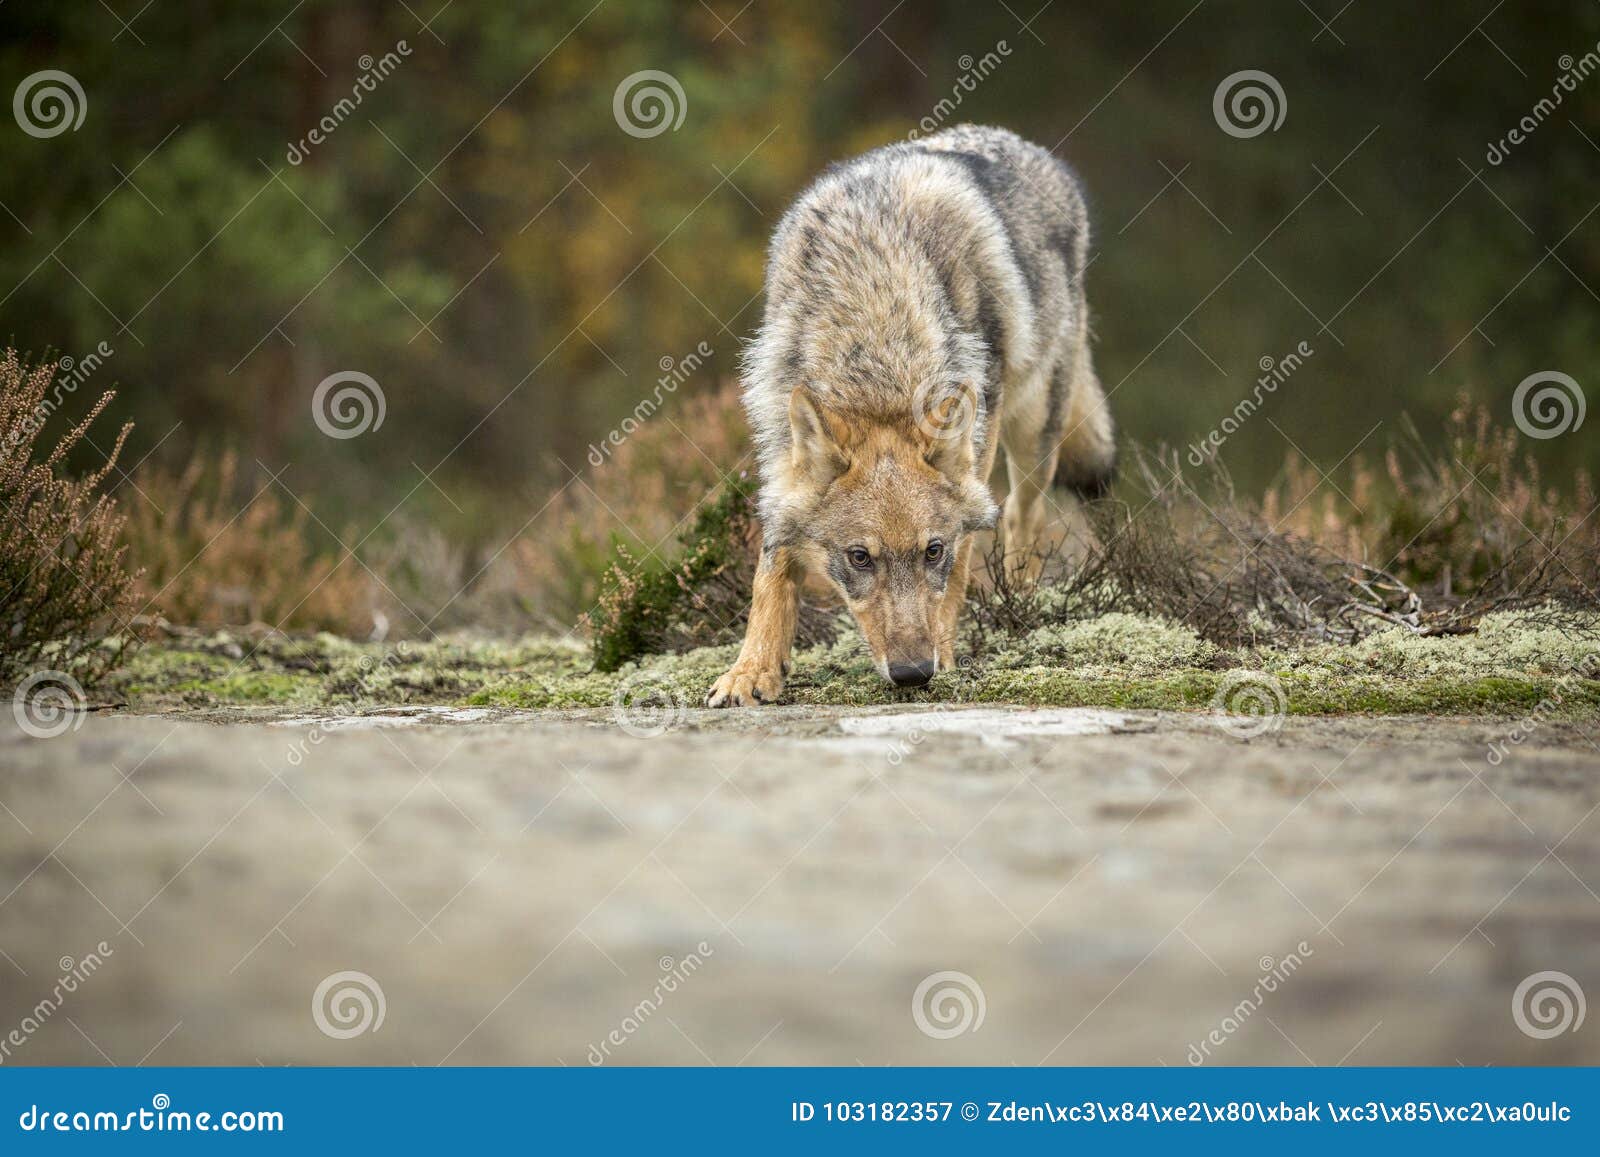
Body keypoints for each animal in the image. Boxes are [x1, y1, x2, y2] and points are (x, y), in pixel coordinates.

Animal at [707, 124, 1115, 706]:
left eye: (932, 551)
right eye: (860, 557)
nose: (913, 672)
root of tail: (1034, 151)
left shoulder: (977, 438)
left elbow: (963, 565)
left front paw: (947, 652)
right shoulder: (780, 448)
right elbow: (773, 567)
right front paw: (752, 671)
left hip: (1034, 428)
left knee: (1024, 515)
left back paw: (1018, 606)